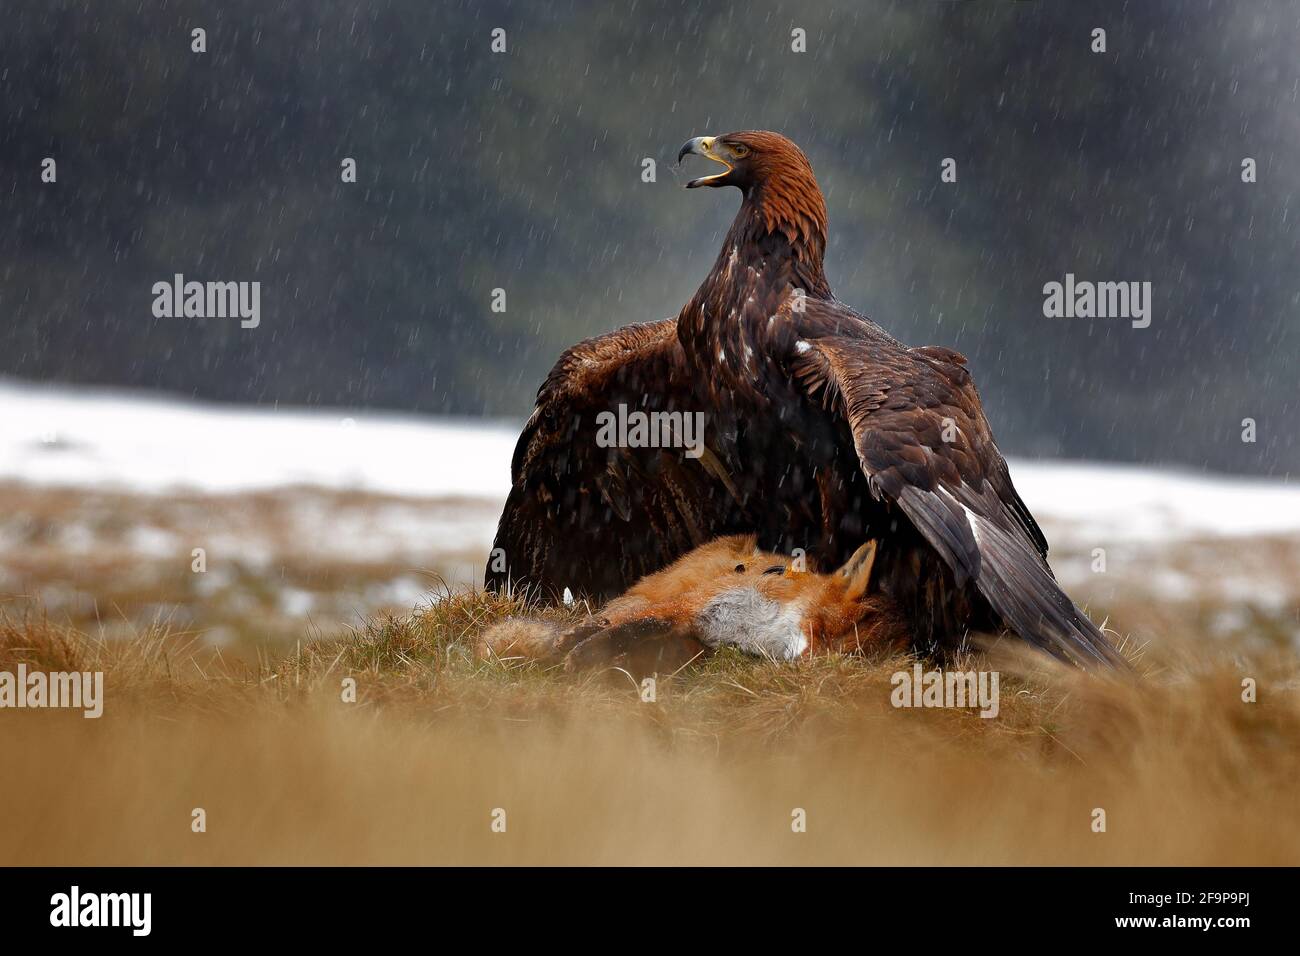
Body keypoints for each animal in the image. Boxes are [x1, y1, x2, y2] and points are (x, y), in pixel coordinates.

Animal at [479, 534, 909, 677]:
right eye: (821, 629)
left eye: (850, 653)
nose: (807, 666)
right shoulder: (693, 607)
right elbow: (627, 627)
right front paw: (576, 653)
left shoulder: (703, 636)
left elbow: (635, 635)